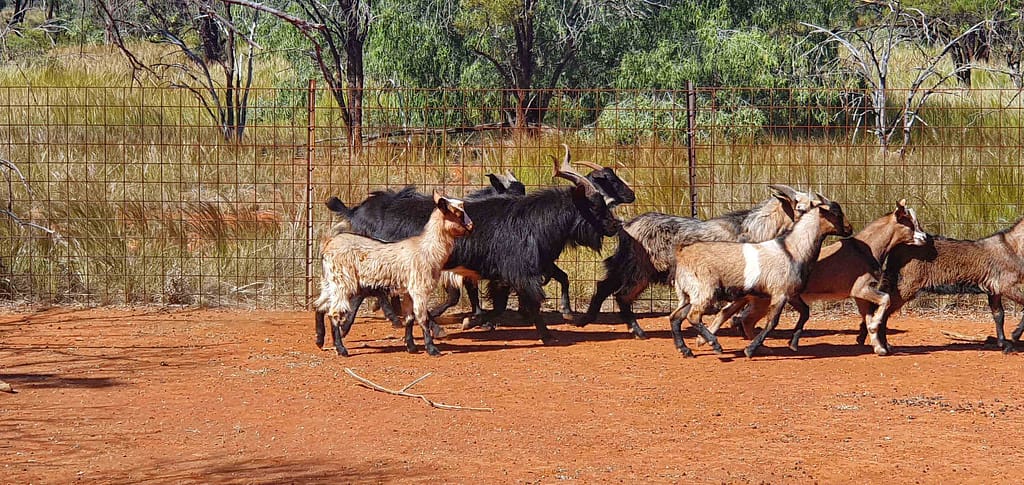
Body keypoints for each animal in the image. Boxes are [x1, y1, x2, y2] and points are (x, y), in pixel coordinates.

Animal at [314, 191, 473, 357]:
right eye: (457, 213)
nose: (471, 226)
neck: (426, 248)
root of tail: (328, 243)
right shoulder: (419, 288)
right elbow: (422, 318)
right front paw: (432, 349)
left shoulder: (409, 291)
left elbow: (410, 318)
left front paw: (411, 347)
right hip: (342, 281)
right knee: (333, 313)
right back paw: (341, 348)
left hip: (330, 281)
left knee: (319, 306)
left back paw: (319, 340)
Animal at [575, 184, 821, 339]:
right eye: (801, 206)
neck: (756, 229)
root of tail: (627, 225)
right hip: (639, 270)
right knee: (622, 296)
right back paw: (637, 332)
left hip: (625, 266)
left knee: (604, 286)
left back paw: (586, 319)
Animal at [669, 197, 852, 357]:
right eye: (837, 214)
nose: (850, 228)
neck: (793, 250)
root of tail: (682, 253)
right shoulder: (780, 293)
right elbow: (772, 322)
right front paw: (750, 350)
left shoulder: (791, 293)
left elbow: (805, 312)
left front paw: (793, 343)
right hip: (704, 290)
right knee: (693, 316)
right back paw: (715, 344)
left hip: (687, 293)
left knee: (675, 317)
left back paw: (685, 350)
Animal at [707, 200, 927, 355]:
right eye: (909, 223)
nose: (925, 238)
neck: (867, 248)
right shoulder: (862, 289)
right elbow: (885, 301)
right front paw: (878, 337)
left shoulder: (859, 296)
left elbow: (868, 316)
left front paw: (879, 347)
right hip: (762, 300)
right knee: (741, 318)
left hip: (751, 298)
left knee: (731, 316)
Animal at [863, 218, 1024, 354]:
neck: (1013, 246)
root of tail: (897, 247)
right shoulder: (1007, 285)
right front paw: (1014, 336)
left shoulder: (994, 289)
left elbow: (999, 314)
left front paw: (1004, 343)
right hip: (907, 285)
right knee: (884, 310)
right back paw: (884, 347)